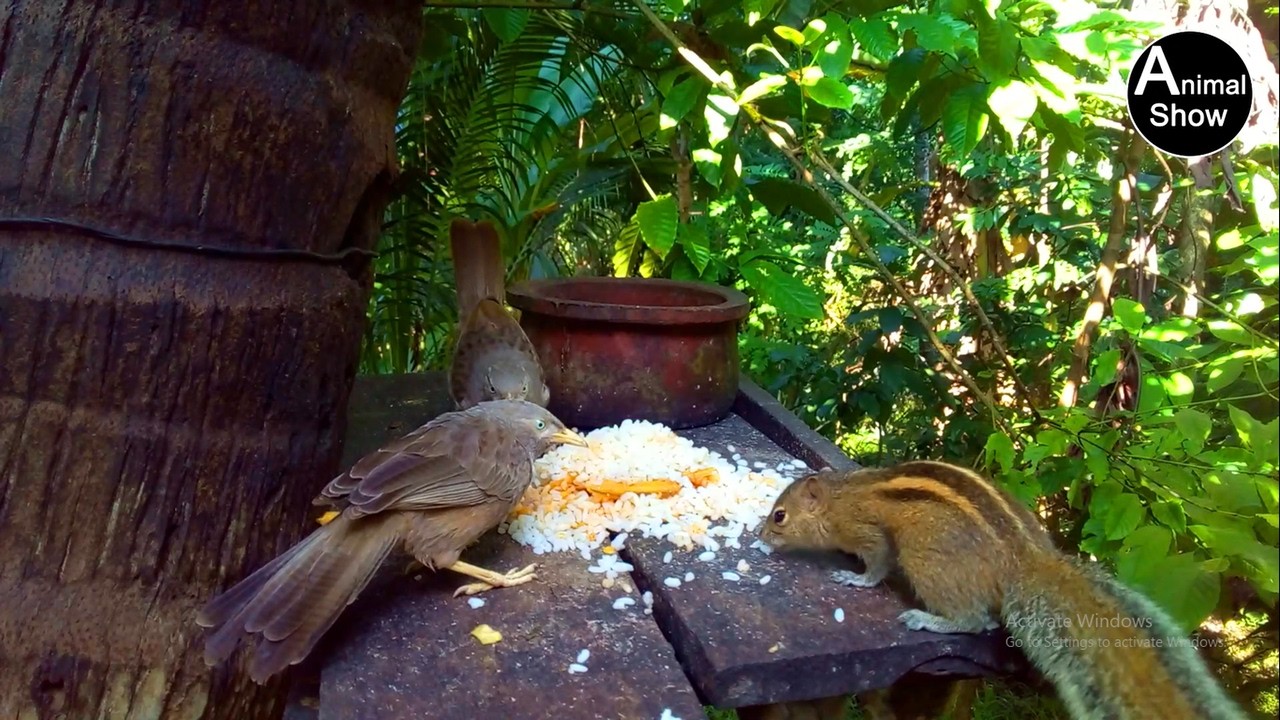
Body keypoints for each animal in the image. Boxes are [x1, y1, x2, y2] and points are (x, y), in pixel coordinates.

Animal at [760, 460, 1248, 720]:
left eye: (780, 515)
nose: (762, 535)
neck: (841, 496)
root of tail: (1026, 561)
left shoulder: (868, 533)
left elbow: (877, 564)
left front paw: (855, 578)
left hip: (928, 562)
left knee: (975, 620)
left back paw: (928, 618)